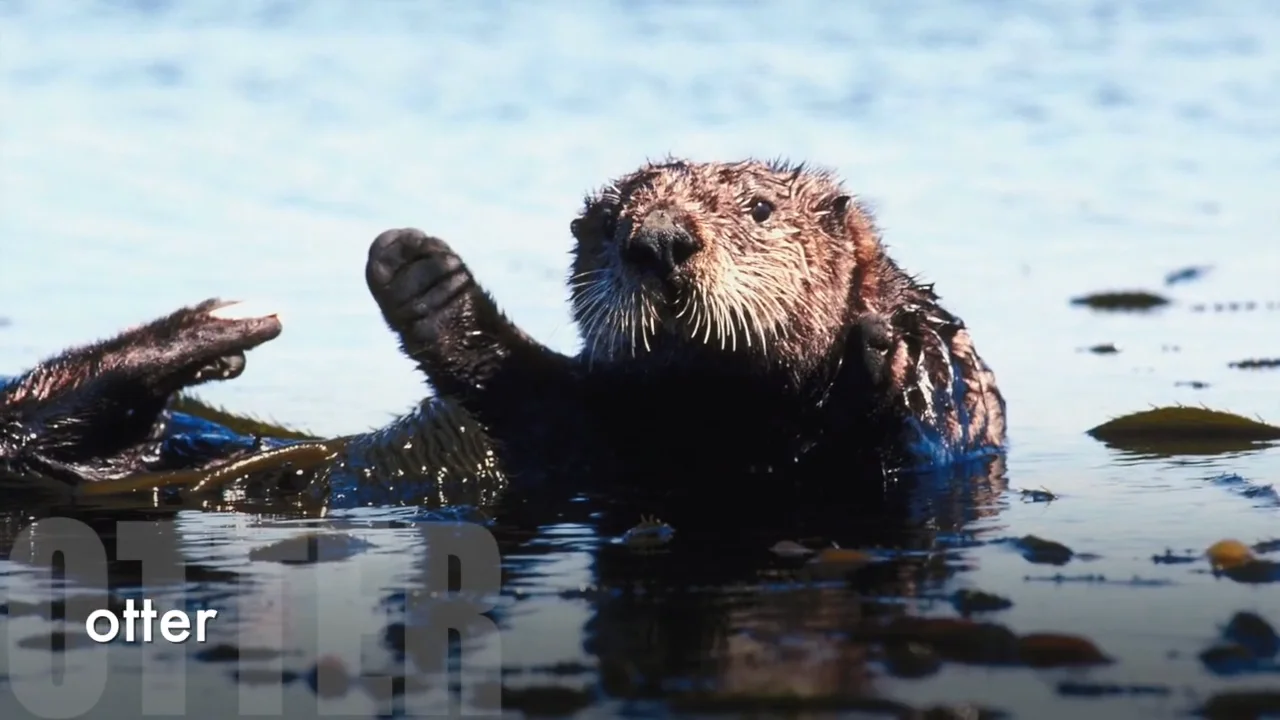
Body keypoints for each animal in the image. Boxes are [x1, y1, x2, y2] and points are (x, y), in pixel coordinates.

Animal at [2, 158, 1005, 504]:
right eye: (612, 224)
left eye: (758, 209)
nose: (658, 241)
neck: (716, 429)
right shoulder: (581, 426)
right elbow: (514, 381)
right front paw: (418, 273)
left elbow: (901, 434)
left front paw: (879, 349)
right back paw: (212, 329)